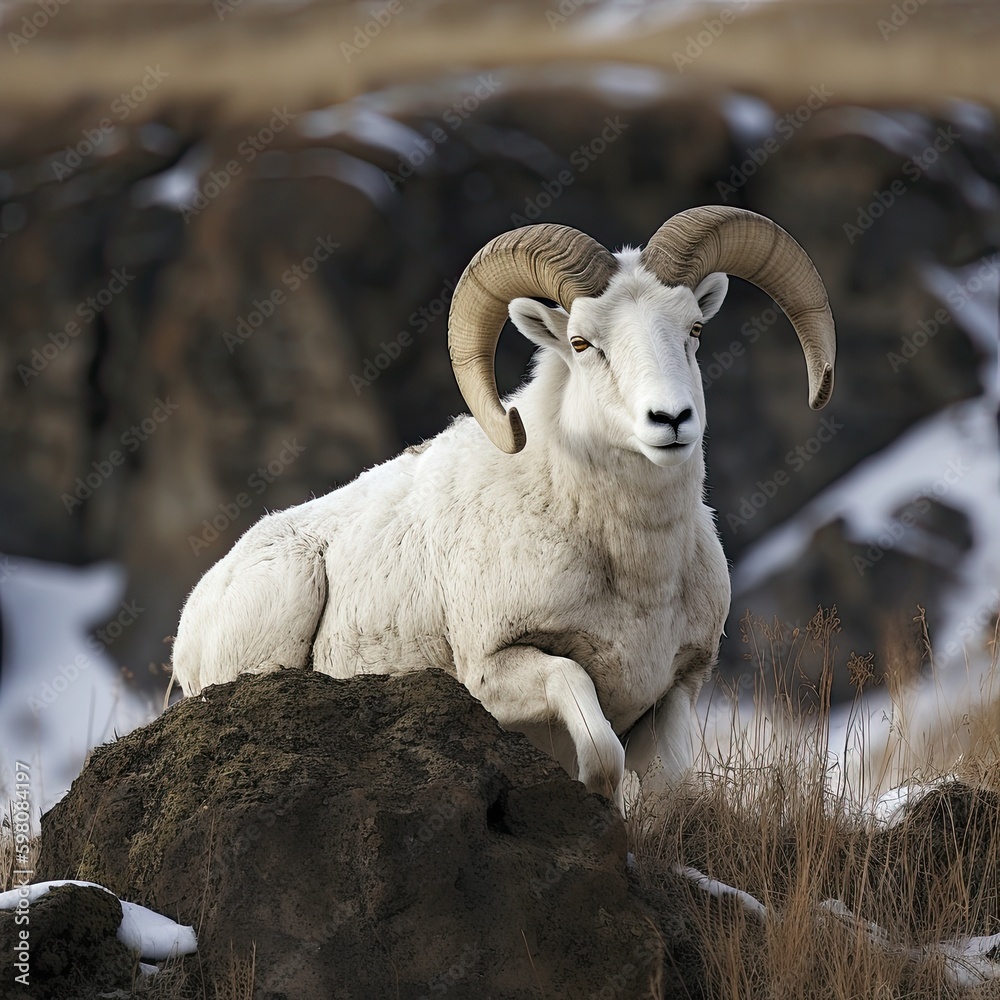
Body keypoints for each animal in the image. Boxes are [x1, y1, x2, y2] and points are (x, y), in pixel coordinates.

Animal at [171, 206, 836, 813]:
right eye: (582, 343)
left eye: (694, 330)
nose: (671, 420)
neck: (636, 577)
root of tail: (190, 619)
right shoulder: (496, 674)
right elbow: (598, 751)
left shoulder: (672, 695)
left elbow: (672, 795)